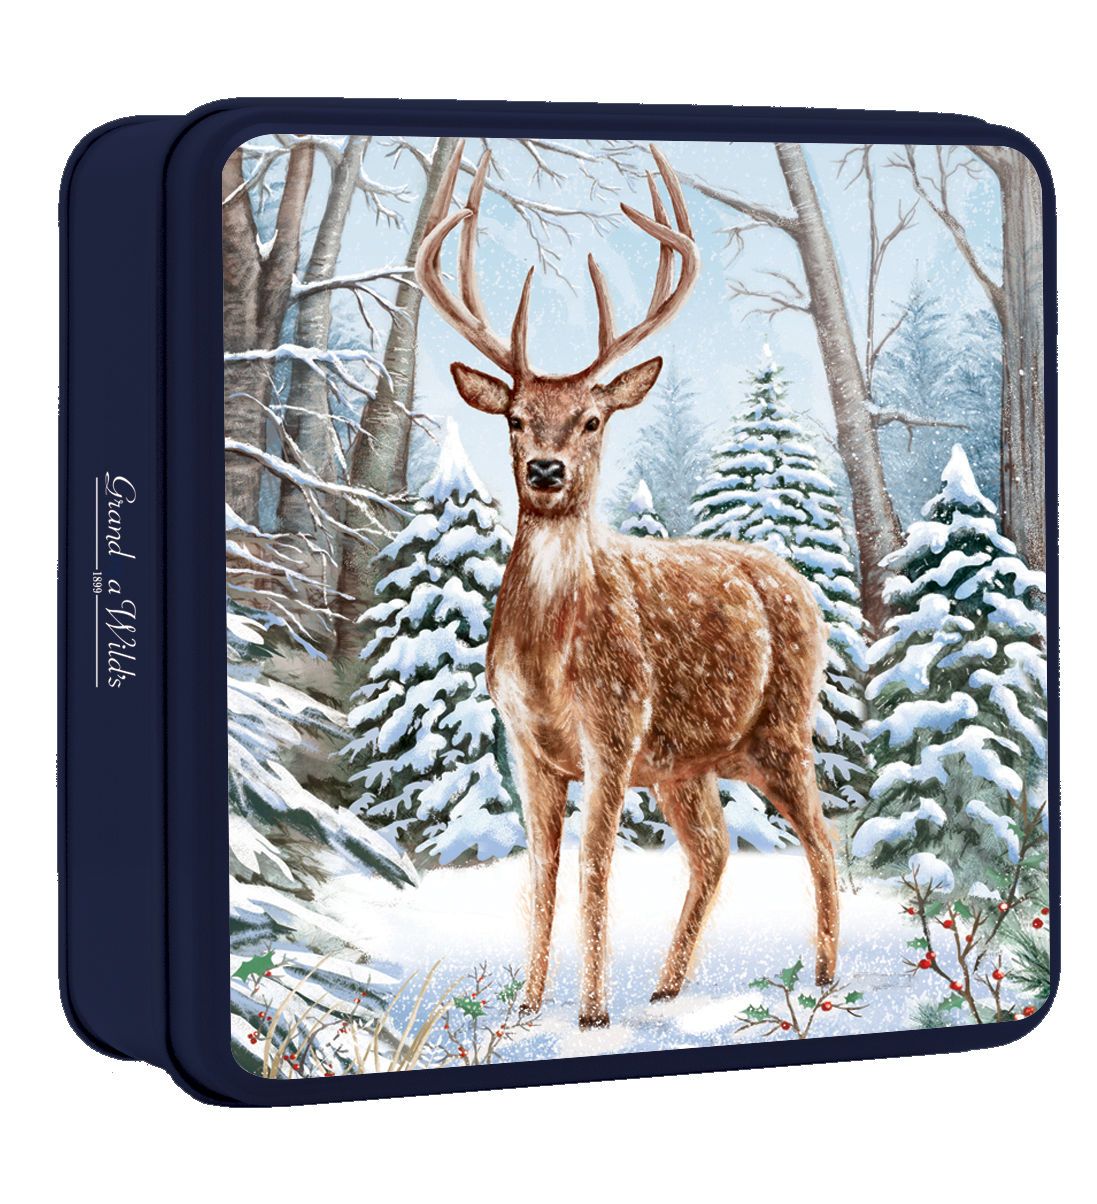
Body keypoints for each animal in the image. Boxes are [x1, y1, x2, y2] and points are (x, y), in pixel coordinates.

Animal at [415, 141, 839, 1029]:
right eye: (513, 418)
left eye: (592, 418)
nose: (546, 470)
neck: (548, 667)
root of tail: (793, 579)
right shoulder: (527, 746)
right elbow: (538, 874)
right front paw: (526, 1008)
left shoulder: (613, 728)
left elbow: (593, 867)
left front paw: (589, 1012)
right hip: (690, 764)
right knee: (714, 850)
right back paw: (669, 983)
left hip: (781, 728)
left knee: (821, 839)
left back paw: (822, 975)